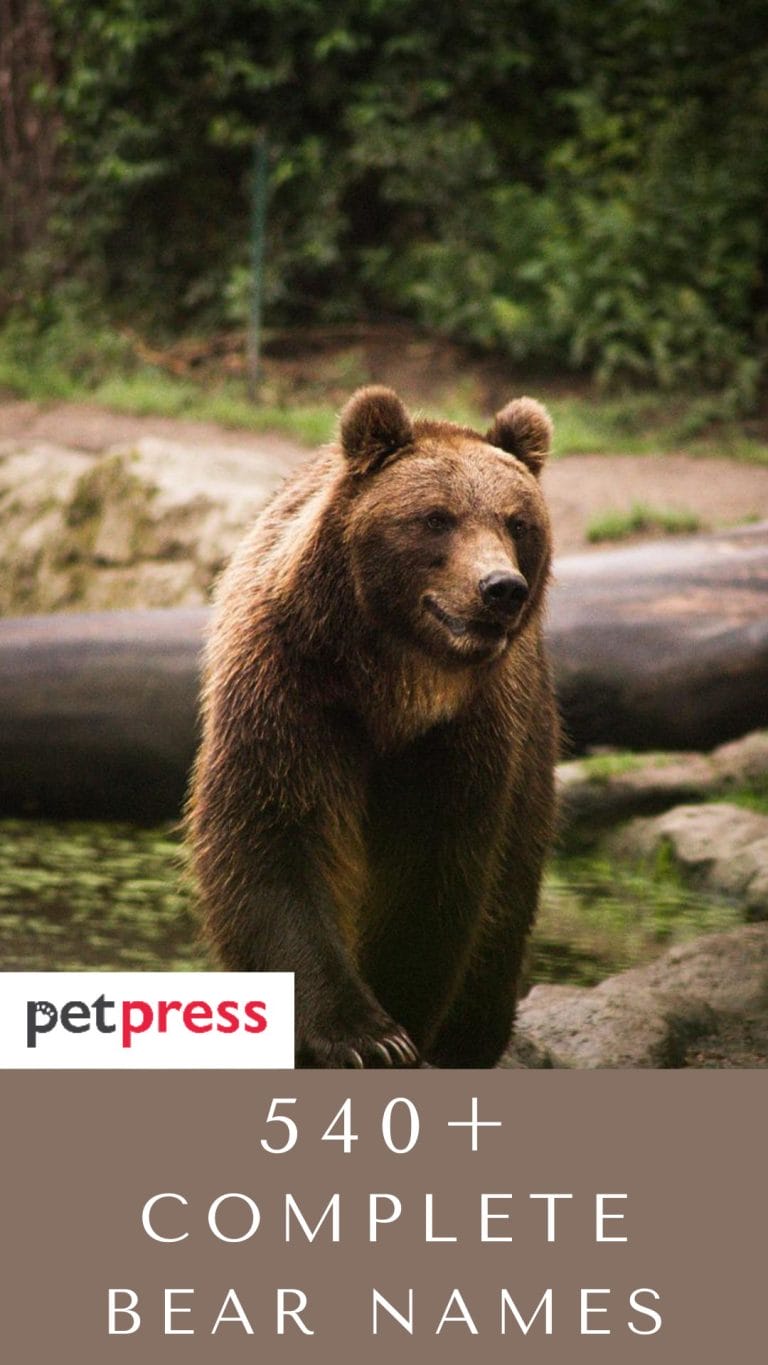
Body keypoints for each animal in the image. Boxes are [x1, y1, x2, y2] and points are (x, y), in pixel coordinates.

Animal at [188, 386, 559, 1068]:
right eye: (437, 518)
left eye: (517, 522)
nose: (500, 588)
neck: (395, 685)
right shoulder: (289, 691)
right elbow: (273, 840)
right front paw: (366, 1035)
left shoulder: (467, 734)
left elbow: (435, 871)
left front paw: (402, 1018)